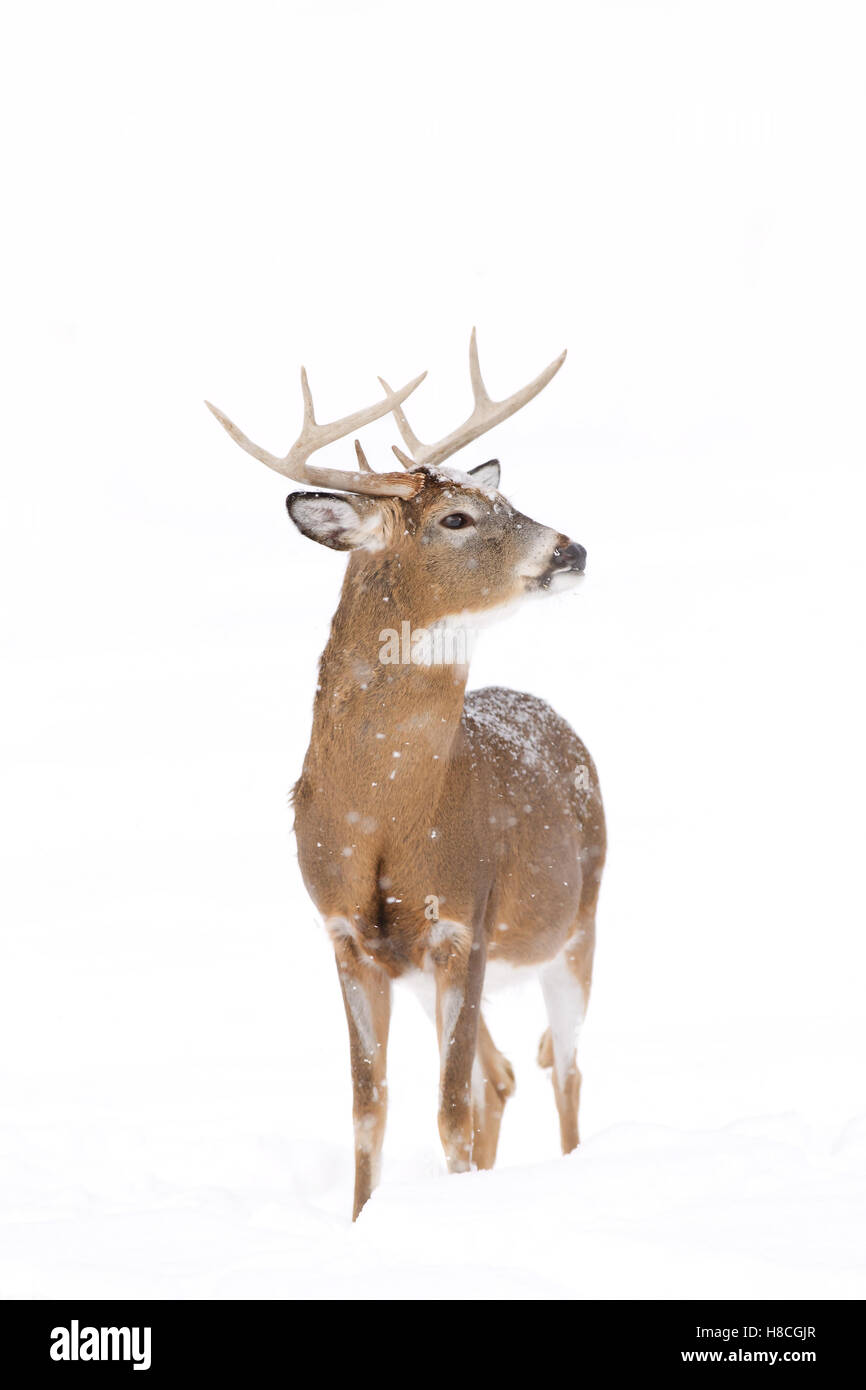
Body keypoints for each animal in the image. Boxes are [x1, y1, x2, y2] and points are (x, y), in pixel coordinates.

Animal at [206, 332, 606, 1219]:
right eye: (457, 518)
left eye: (505, 496)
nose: (572, 549)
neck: (387, 812)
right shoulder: (350, 934)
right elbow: (370, 1109)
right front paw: (363, 1222)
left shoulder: (464, 918)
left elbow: (448, 1109)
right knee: (504, 1074)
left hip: (578, 924)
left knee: (563, 1070)